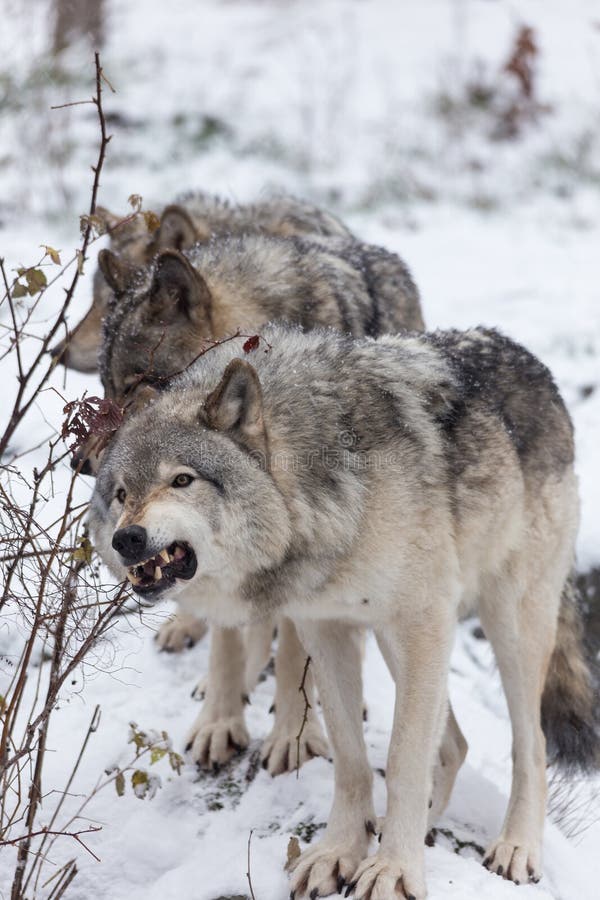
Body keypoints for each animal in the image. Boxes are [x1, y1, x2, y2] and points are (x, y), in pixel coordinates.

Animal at [89, 323, 598, 897]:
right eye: (121, 493)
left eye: (181, 480)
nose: (127, 539)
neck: (327, 495)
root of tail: (522, 353)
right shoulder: (326, 627)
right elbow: (351, 759)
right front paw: (341, 853)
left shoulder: (420, 623)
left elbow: (401, 758)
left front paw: (394, 869)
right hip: (400, 642)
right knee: (456, 744)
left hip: (505, 625)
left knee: (530, 743)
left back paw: (516, 847)